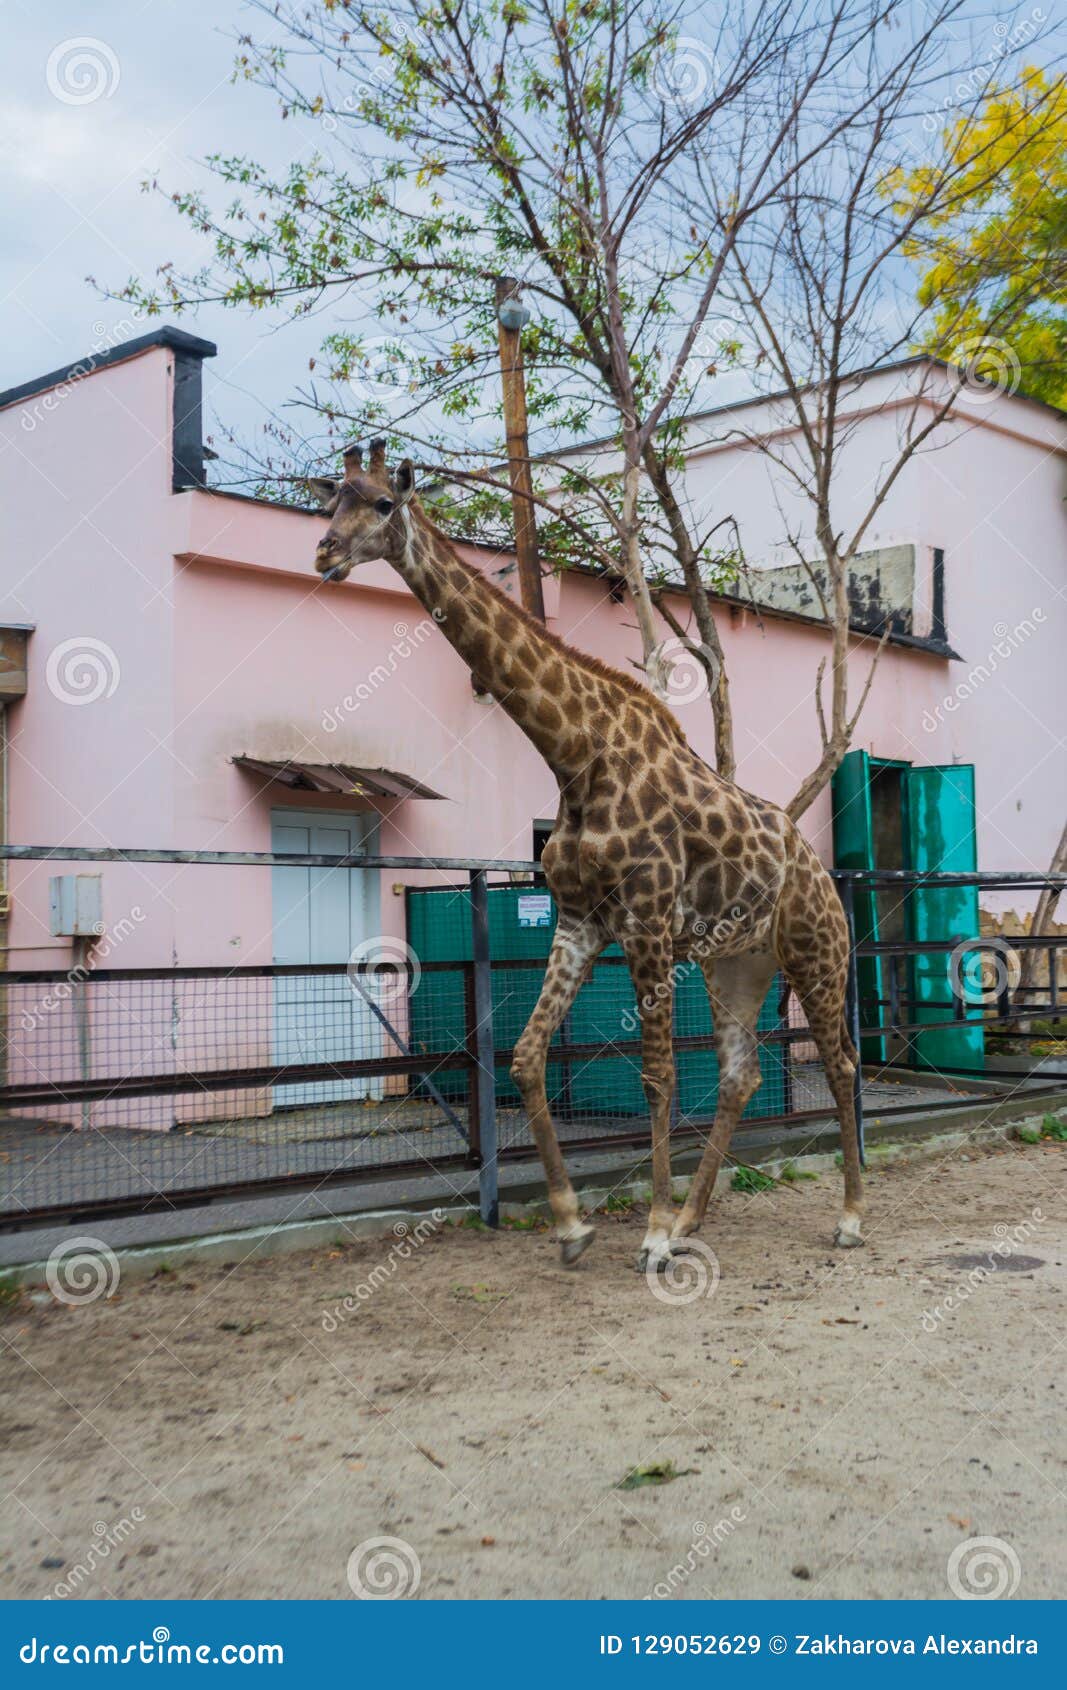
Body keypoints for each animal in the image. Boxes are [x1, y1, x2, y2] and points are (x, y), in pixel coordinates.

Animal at [309, 440, 864, 1271]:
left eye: (380, 503)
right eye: (331, 499)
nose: (324, 553)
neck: (574, 756)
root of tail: (818, 872)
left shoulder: (646, 924)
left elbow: (658, 1076)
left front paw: (652, 1235)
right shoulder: (579, 922)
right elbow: (524, 1058)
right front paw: (573, 1225)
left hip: (814, 953)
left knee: (840, 1063)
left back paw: (849, 1218)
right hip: (737, 963)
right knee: (741, 1074)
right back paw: (696, 1216)